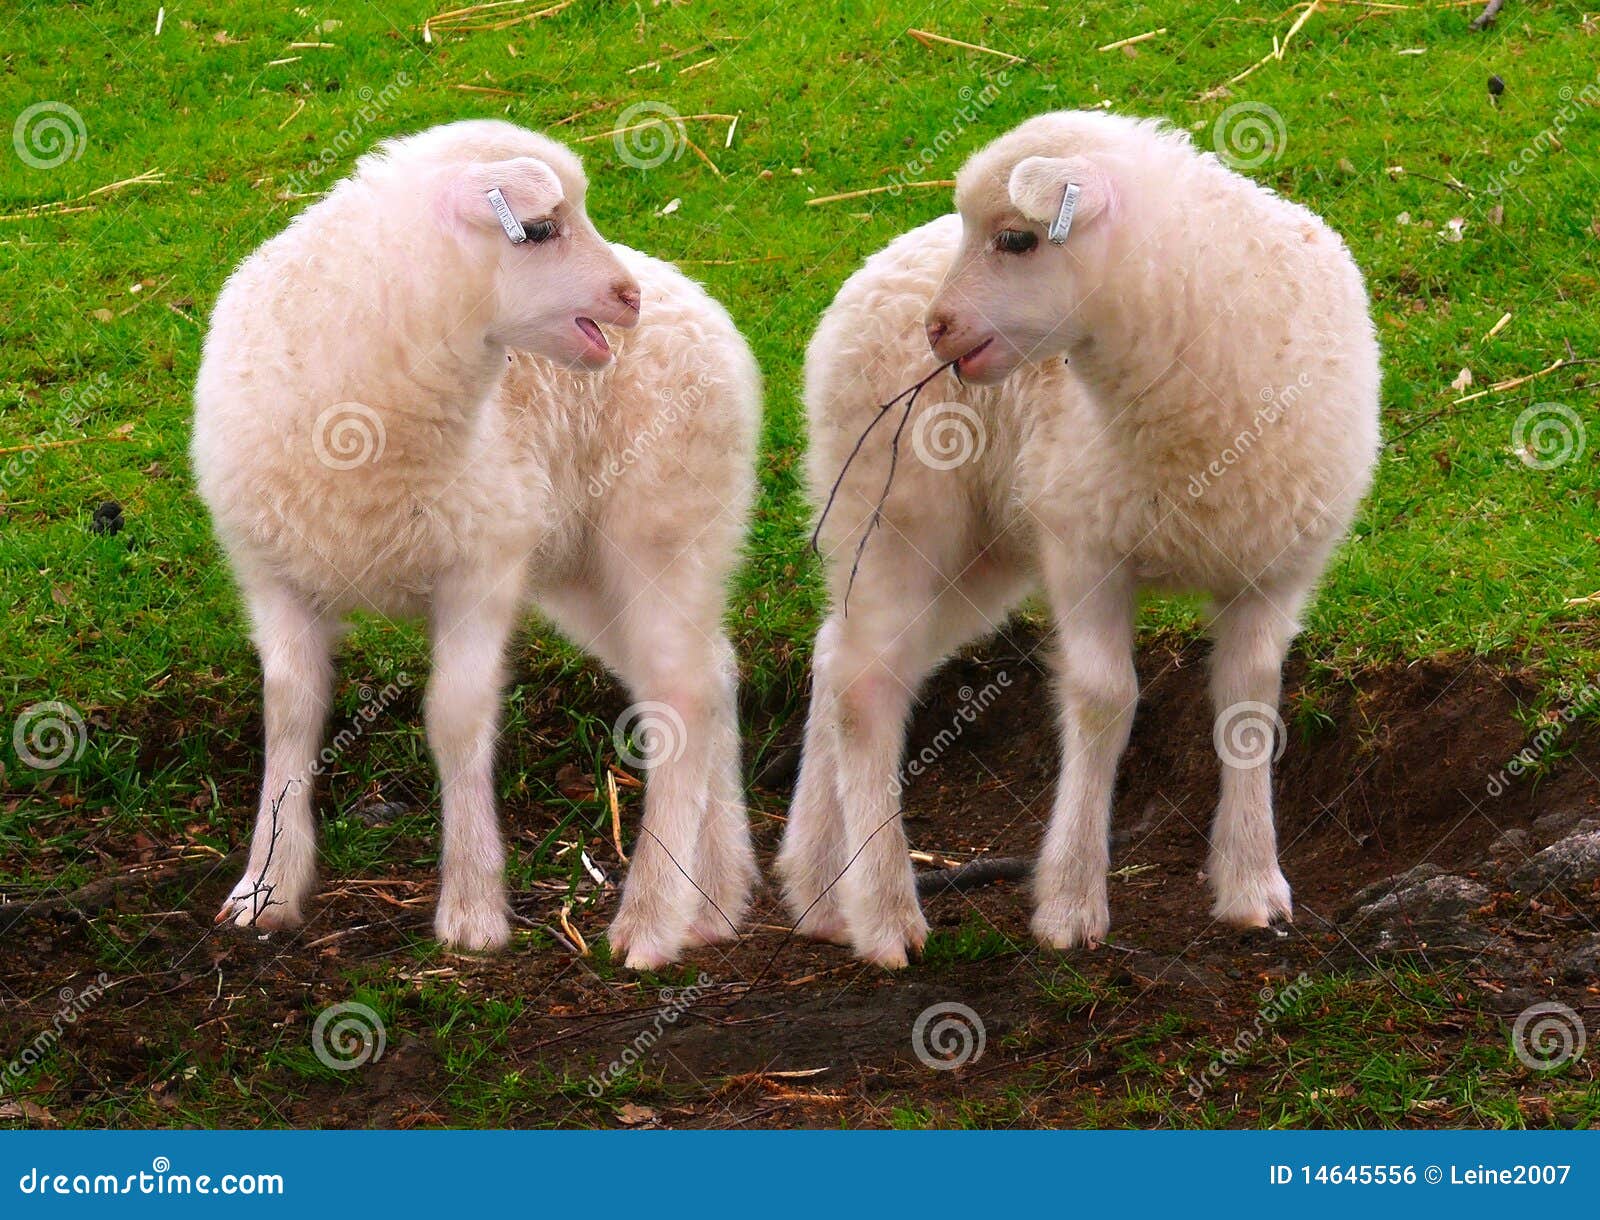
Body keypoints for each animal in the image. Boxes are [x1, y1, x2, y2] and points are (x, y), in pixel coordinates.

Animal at [192, 119, 759, 969]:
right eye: (543, 229)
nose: (627, 297)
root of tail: (697, 299)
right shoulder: (273, 573)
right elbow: (290, 714)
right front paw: (266, 888)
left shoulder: (481, 563)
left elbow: (456, 718)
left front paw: (472, 907)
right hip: (589, 569)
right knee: (707, 674)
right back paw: (715, 898)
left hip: (667, 528)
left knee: (685, 693)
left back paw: (653, 918)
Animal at [779, 110, 1380, 967]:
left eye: (1017, 239)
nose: (938, 329)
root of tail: (873, 267)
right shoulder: (1084, 546)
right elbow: (1103, 700)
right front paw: (1069, 901)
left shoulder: (1273, 570)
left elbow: (1249, 702)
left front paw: (1252, 886)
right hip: (892, 514)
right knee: (866, 687)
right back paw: (887, 914)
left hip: (973, 556)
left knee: (840, 657)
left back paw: (823, 893)